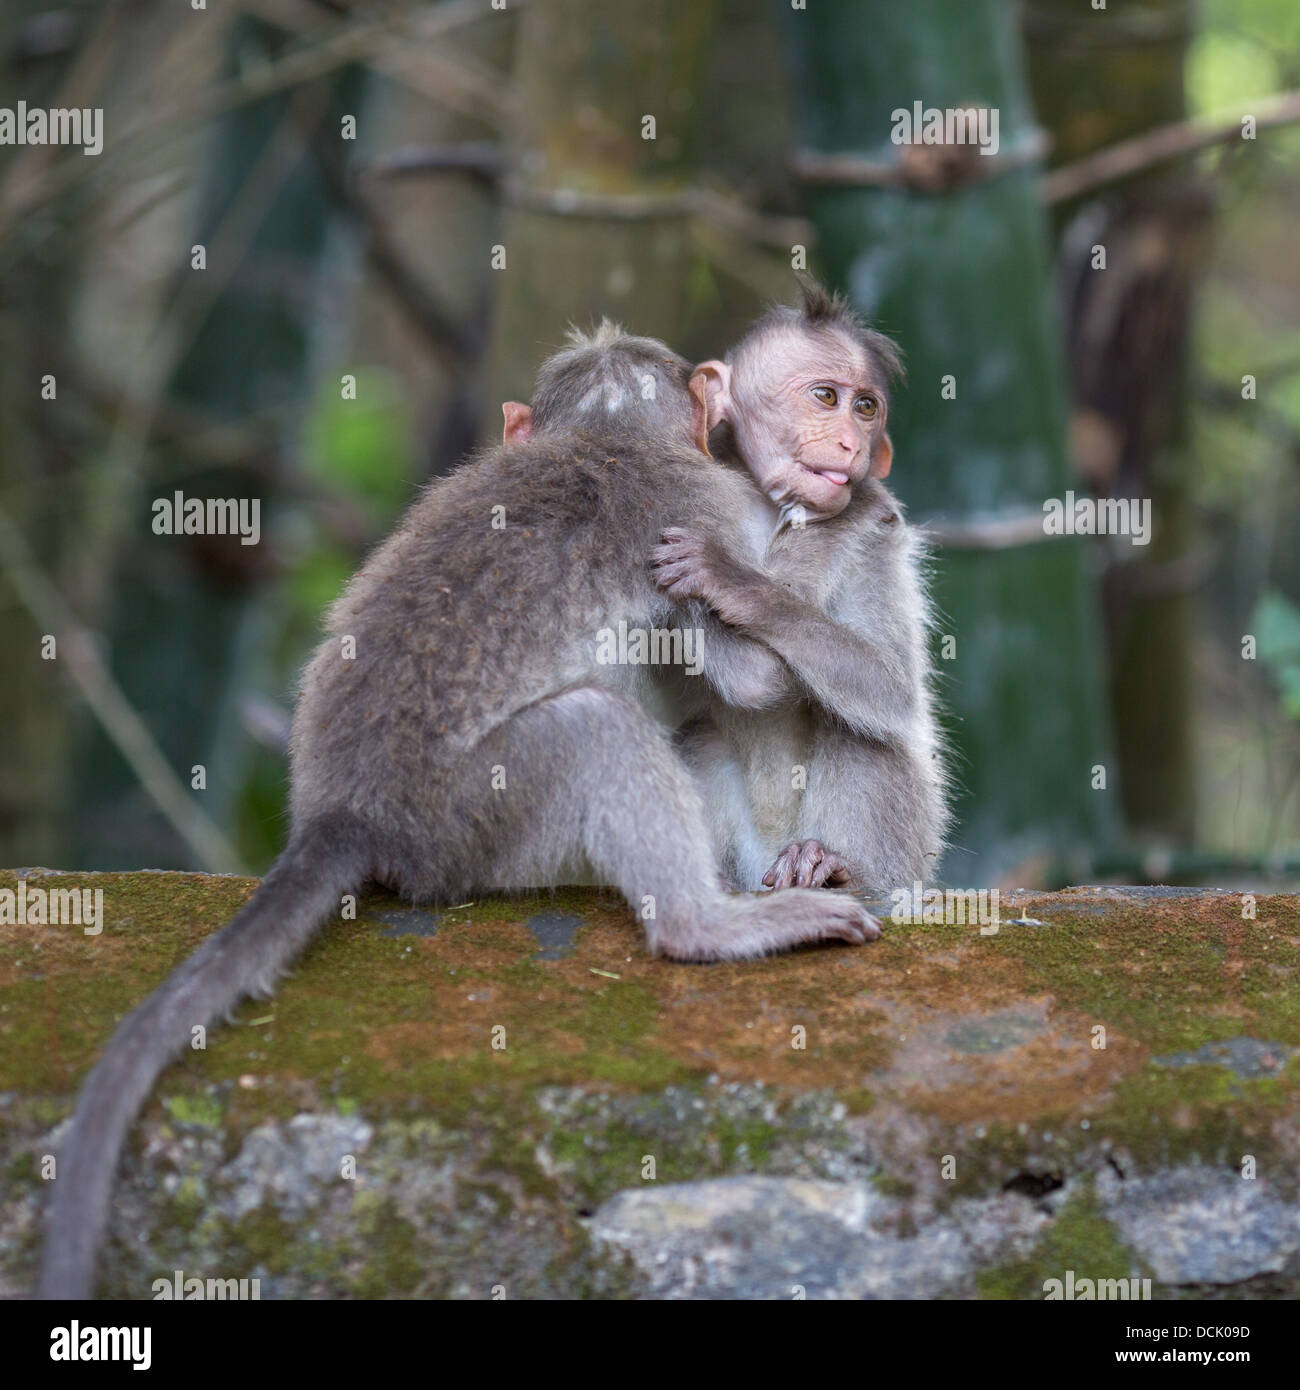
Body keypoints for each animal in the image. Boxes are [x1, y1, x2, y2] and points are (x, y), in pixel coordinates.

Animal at [39, 324, 881, 1299]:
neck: (606, 437)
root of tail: (345, 814)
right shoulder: (717, 507)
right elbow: (750, 678)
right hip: (477, 819)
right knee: (592, 726)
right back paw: (708, 925)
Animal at [649, 282, 949, 894]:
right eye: (826, 397)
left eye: (866, 408)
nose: (851, 443)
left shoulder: (877, 530)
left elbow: (890, 683)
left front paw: (733, 582)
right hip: (748, 859)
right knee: (697, 736)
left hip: (907, 858)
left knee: (859, 724)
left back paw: (834, 866)